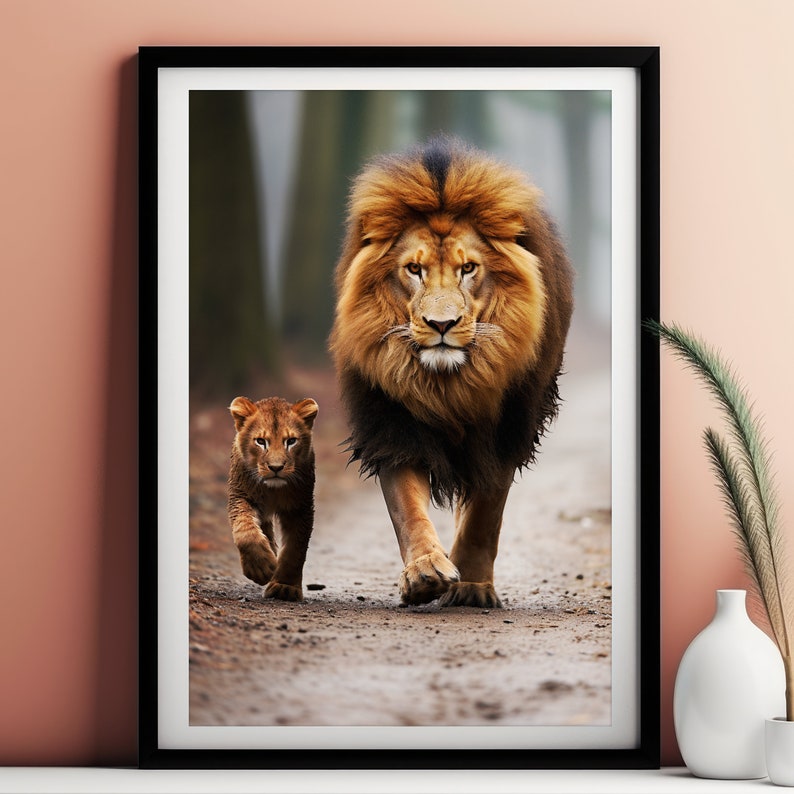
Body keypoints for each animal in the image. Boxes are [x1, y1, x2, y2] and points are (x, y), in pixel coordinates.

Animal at [227, 395, 319, 601]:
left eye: (291, 441)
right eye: (261, 441)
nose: (276, 467)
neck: (273, 491)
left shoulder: (300, 507)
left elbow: (295, 548)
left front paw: (285, 587)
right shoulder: (240, 496)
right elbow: (245, 531)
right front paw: (260, 567)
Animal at [329, 136, 574, 609]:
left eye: (468, 268)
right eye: (414, 269)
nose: (441, 324)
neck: (448, 384)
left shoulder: (505, 431)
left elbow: (485, 514)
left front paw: (472, 587)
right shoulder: (392, 425)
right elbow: (407, 507)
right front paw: (426, 571)